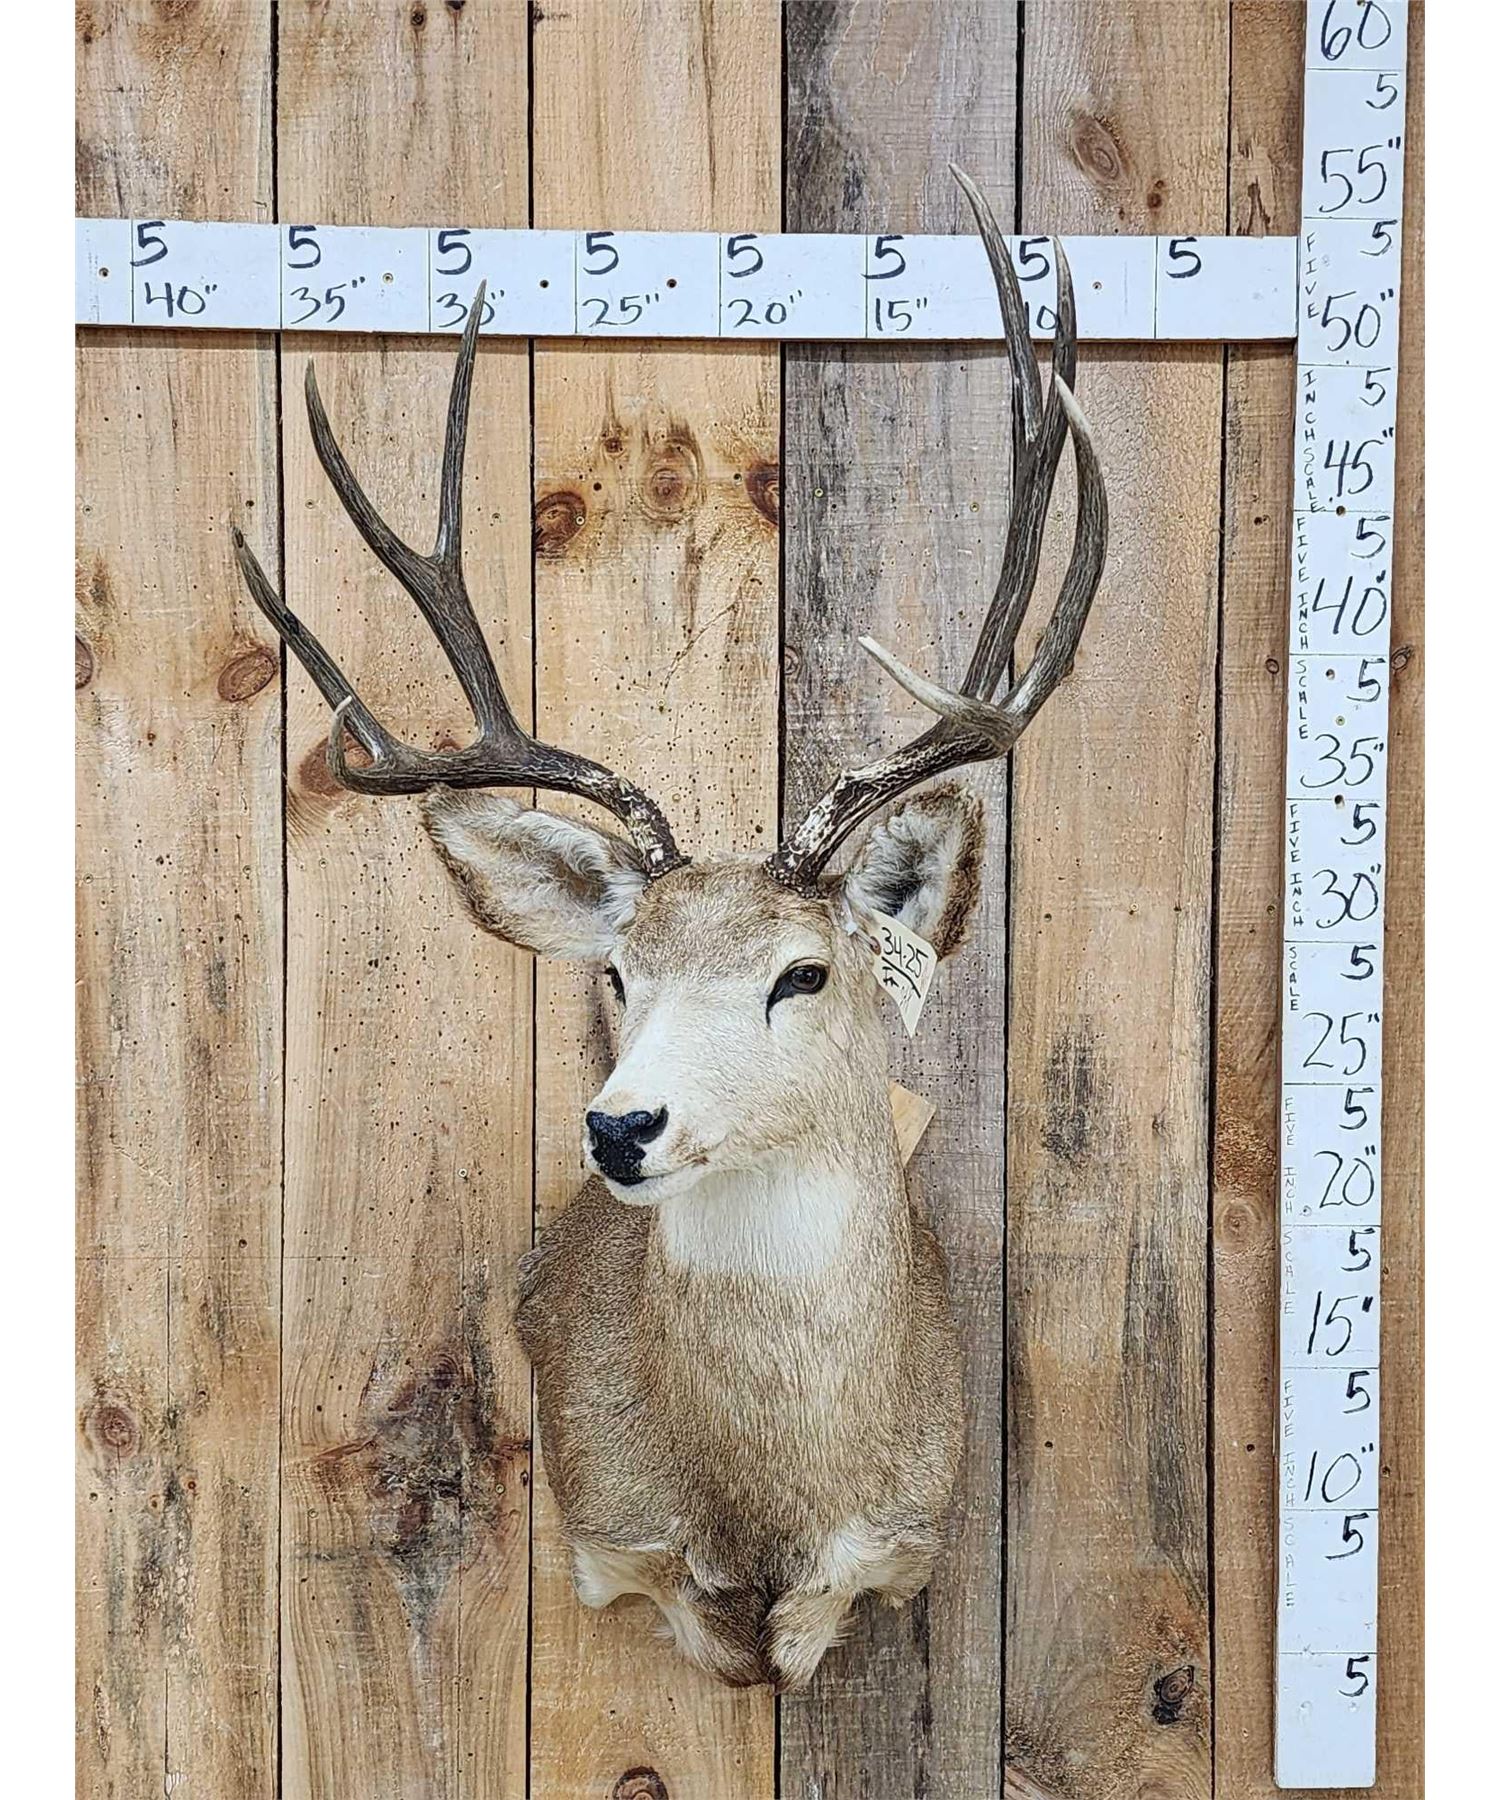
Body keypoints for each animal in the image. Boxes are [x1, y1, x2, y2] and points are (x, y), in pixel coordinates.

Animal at [233, 168, 1106, 1692]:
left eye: (802, 973)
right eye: (619, 973)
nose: (620, 1126)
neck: (762, 1495)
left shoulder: (904, 1538)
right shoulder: (611, 1538)